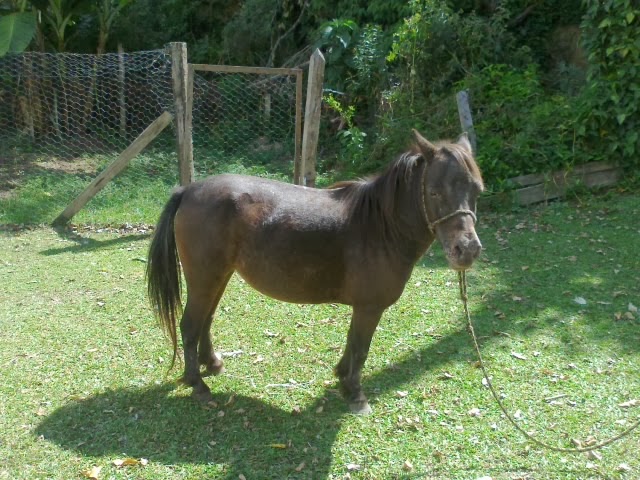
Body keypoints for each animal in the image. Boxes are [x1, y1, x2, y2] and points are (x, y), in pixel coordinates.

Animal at [146, 129, 484, 414]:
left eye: (477, 191)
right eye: (435, 192)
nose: (466, 250)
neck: (380, 226)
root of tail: (188, 190)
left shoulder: (363, 308)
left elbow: (352, 343)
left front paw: (342, 377)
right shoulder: (369, 307)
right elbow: (361, 348)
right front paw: (356, 394)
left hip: (218, 277)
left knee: (205, 320)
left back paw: (212, 364)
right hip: (205, 278)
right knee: (190, 325)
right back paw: (198, 385)